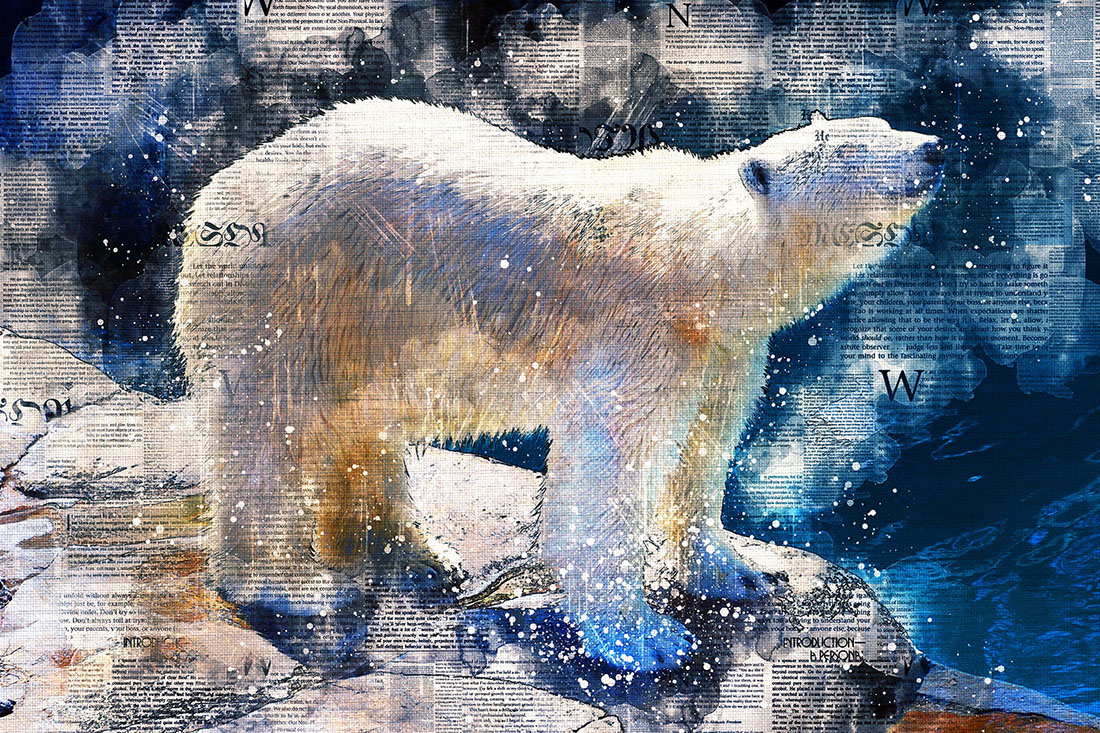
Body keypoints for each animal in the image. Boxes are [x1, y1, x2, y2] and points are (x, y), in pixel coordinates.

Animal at [174, 100, 943, 672]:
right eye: (851, 148)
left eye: (884, 125)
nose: (934, 147)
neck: (695, 264)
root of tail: (217, 187)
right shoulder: (636, 335)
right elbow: (604, 471)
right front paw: (645, 638)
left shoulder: (721, 351)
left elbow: (703, 448)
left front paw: (738, 570)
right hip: (290, 289)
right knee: (270, 437)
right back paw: (296, 584)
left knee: (364, 429)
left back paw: (421, 552)